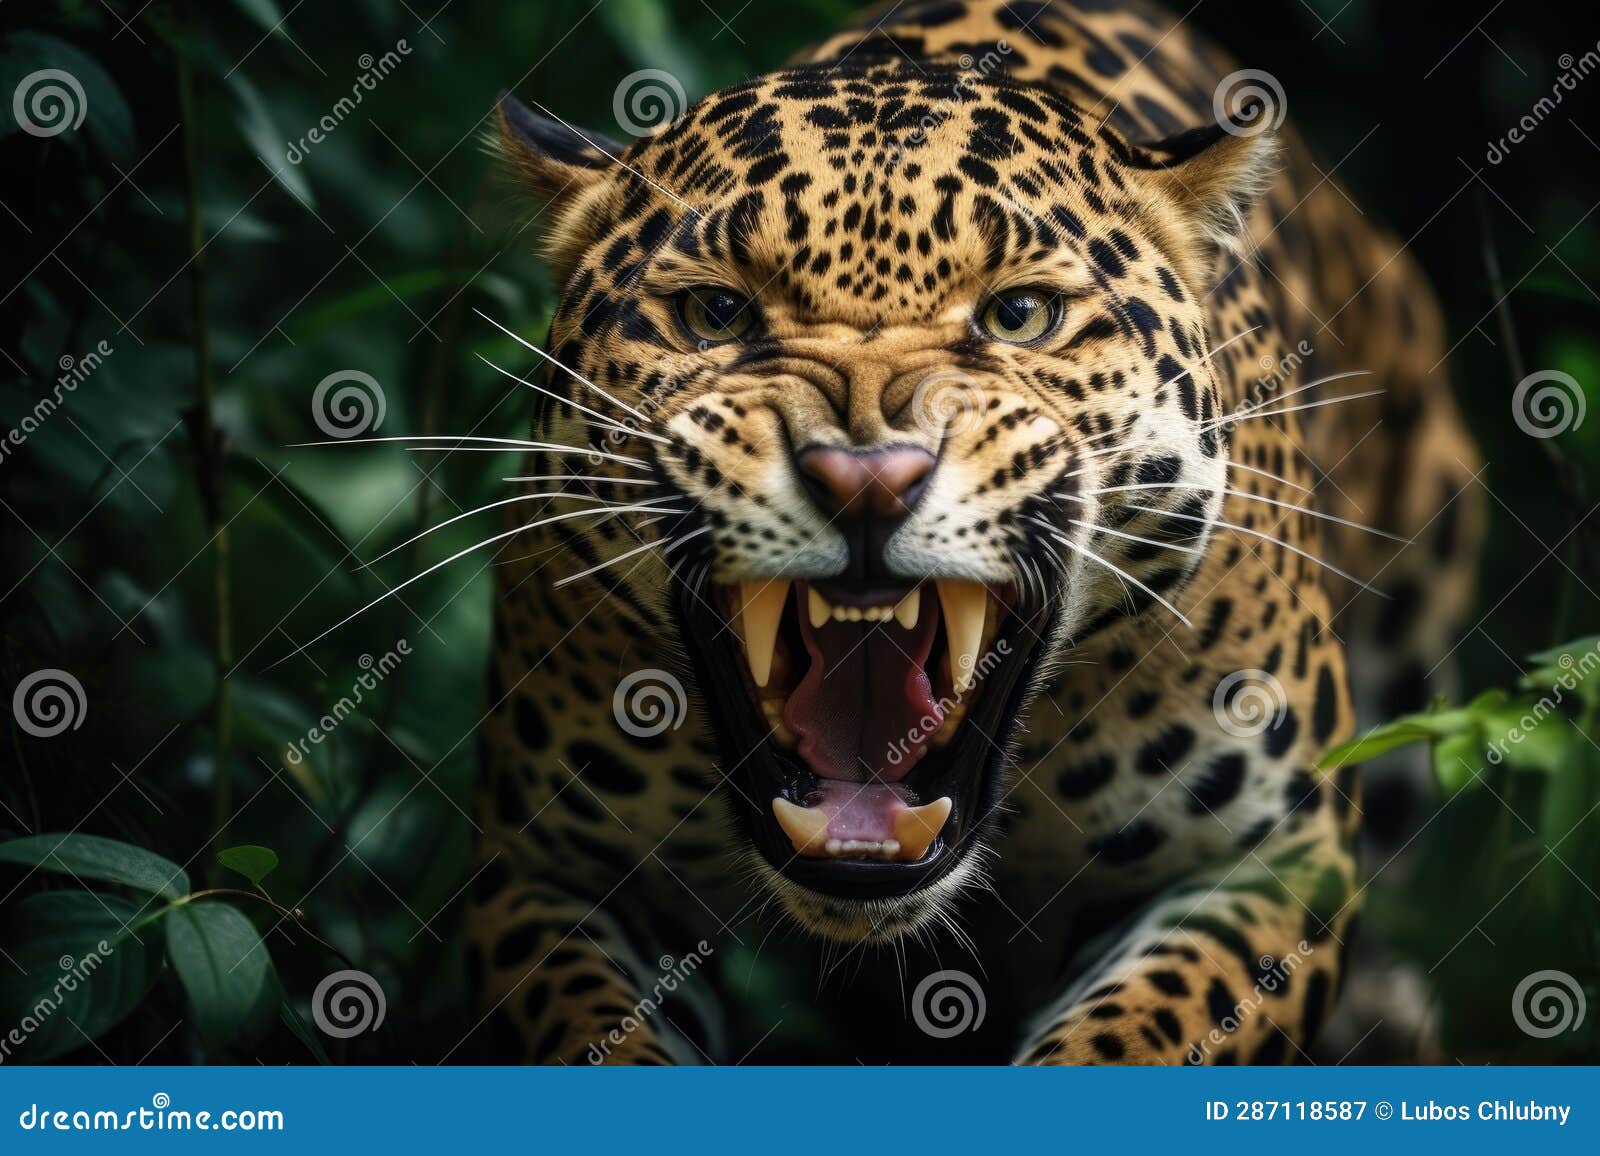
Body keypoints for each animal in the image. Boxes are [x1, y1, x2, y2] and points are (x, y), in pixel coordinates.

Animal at [462, 0, 1484, 1065]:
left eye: (1020, 314)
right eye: (715, 312)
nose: (866, 480)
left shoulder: (1270, 861)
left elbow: (1134, 1035)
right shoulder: (544, 870)